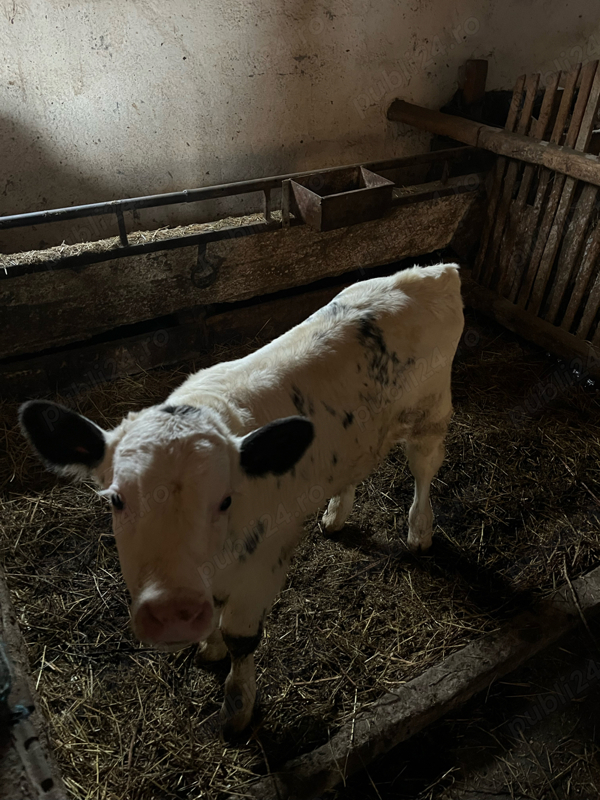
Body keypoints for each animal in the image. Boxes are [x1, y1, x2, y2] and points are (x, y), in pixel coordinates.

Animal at [19, 262, 464, 737]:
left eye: (226, 501)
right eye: (117, 500)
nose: (172, 611)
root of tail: (434, 271)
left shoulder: (262, 566)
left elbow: (241, 639)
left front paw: (237, 705)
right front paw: (209, 648)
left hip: (432, 411)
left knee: (423, 471)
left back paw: (418, 531)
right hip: (360, 434)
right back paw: (335, 515)